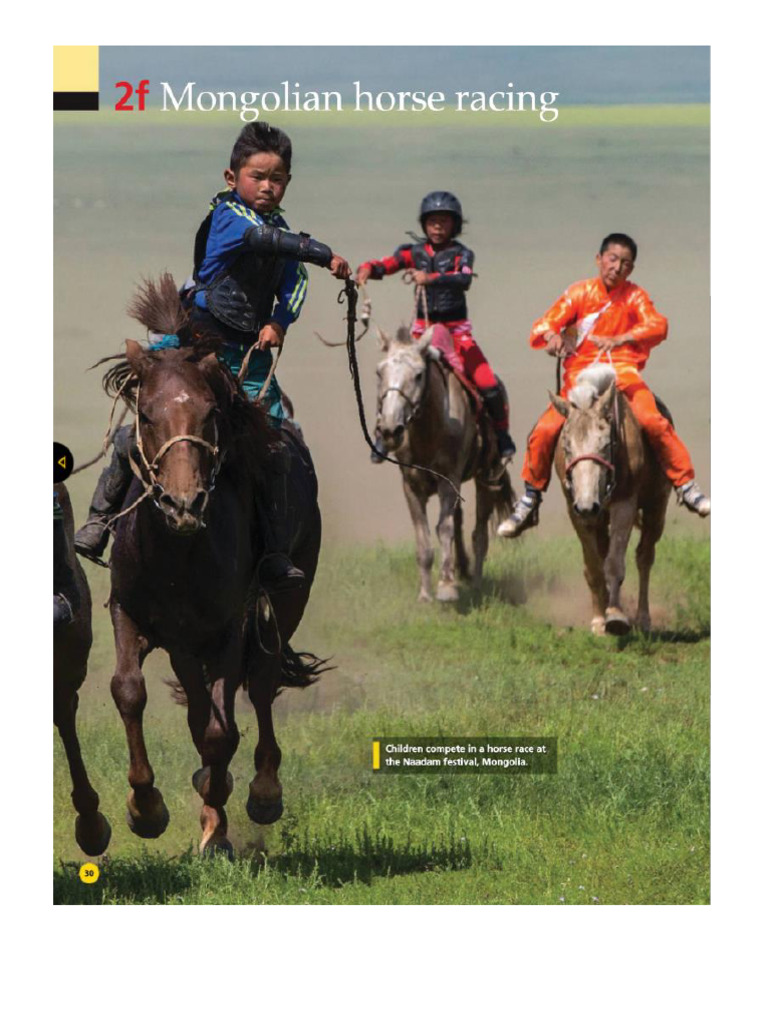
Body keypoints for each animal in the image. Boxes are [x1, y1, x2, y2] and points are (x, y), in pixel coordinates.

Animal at [103, 276, 323, 856]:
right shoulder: (129, 612)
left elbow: (223, 731)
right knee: (201, 707)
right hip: (186, 644)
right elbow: (129, 691)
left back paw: (261, 793)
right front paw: (145, 809)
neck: (177, 553)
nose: (184, 504)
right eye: (147, 415)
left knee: (261, 684)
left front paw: (218, 814)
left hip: (286, 600)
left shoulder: (228, 628)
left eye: (209, 414)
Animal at [375, 325, 514, 602]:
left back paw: (476, 582)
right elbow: (423, 537)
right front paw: (425, 595)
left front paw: (446, 587)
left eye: (419, 374)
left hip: (486, 477)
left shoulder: (448, 482)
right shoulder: (411, 487)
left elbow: (444, 528)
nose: (390, 430)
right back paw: (463, 569)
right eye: (380, 371)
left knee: (479, 533)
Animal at [551, 364, 672, 635]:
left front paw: (615, 616)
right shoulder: (575, 510)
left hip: (656, 508)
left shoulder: (625, 504)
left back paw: (642, 618)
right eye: (566, 446)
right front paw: (598, 620)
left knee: (644, 557)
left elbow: (615, 563)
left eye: (606, 444)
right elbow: (595, 566)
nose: (588, 505)